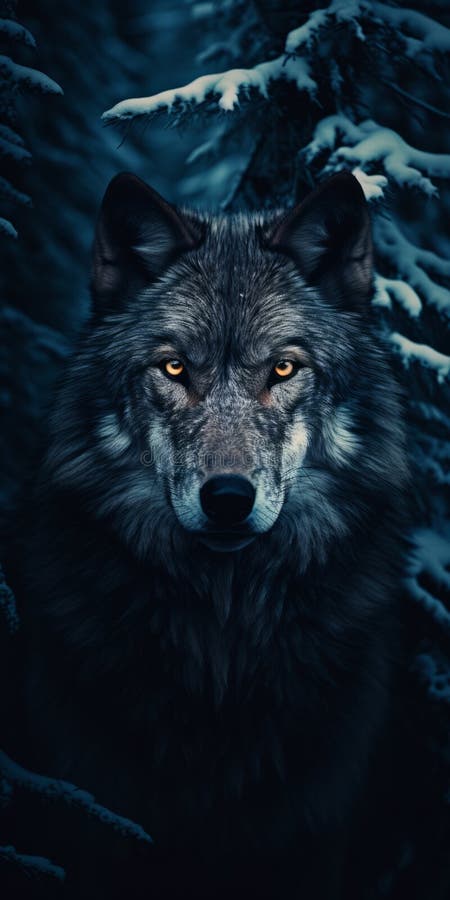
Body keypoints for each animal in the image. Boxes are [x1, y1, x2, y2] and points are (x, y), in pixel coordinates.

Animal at [10, 171, 409, 898]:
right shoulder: (91, 809)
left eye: (282, 369)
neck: (223, 649)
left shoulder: (312, 829)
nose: (227, 499)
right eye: (174, 369)